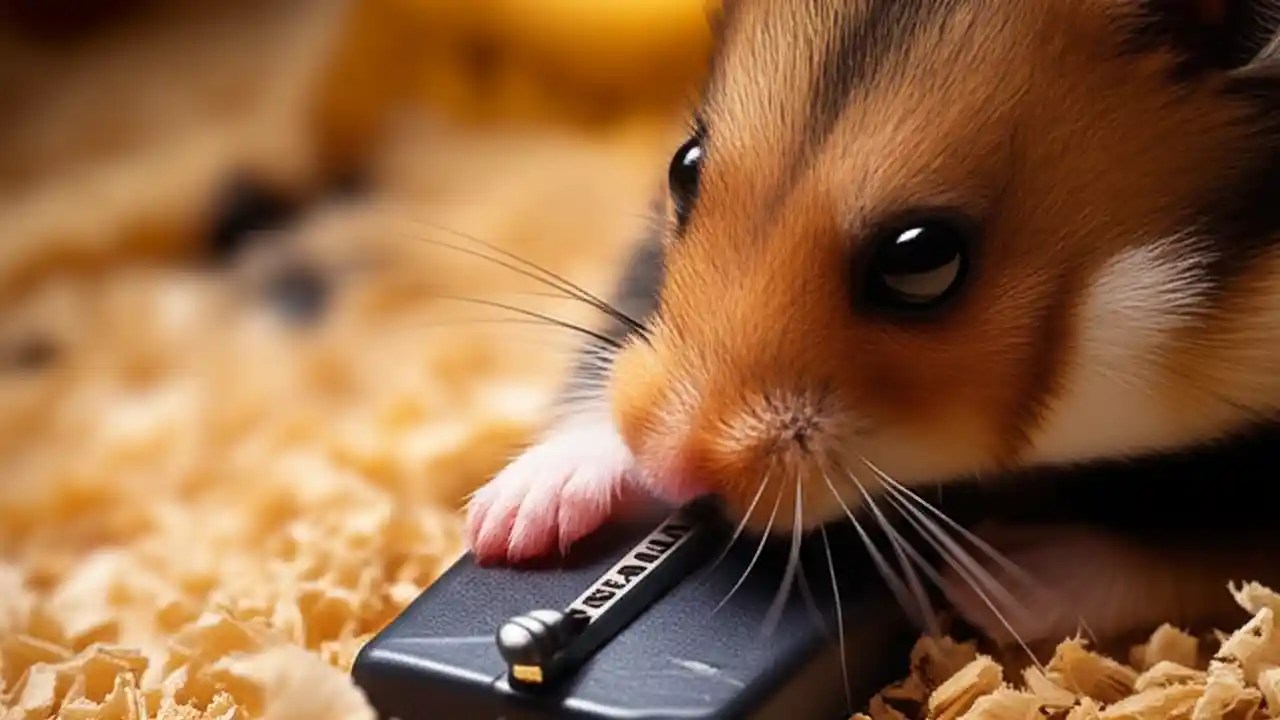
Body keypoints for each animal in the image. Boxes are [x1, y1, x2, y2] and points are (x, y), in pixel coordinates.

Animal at [466, 0, 1280, 651]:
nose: (672, 470)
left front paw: (997, 577)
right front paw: (508, 522)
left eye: (921, 260)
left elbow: (1213, 553)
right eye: (685, 166)